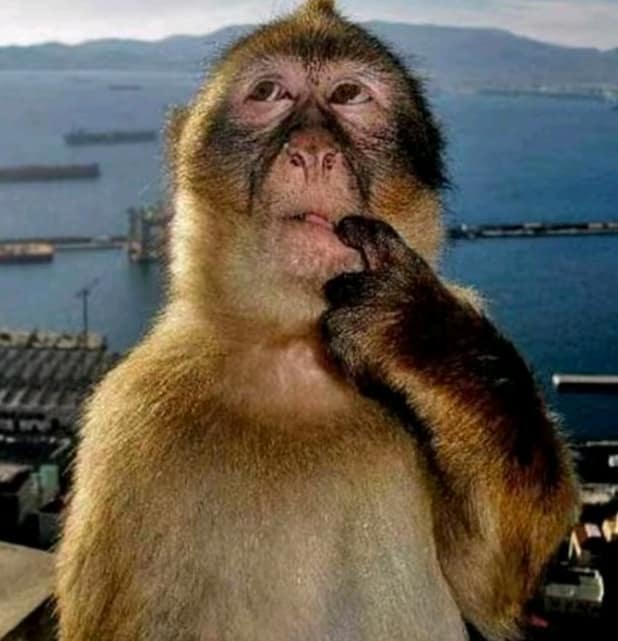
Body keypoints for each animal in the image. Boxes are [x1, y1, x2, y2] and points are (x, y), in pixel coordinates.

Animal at [55, 1, 579, 640]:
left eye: (349, 94)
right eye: (269, 93)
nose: (310, 151)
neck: (297, 354)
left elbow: (489, 581)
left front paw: (419, 332)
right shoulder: (129, 423)